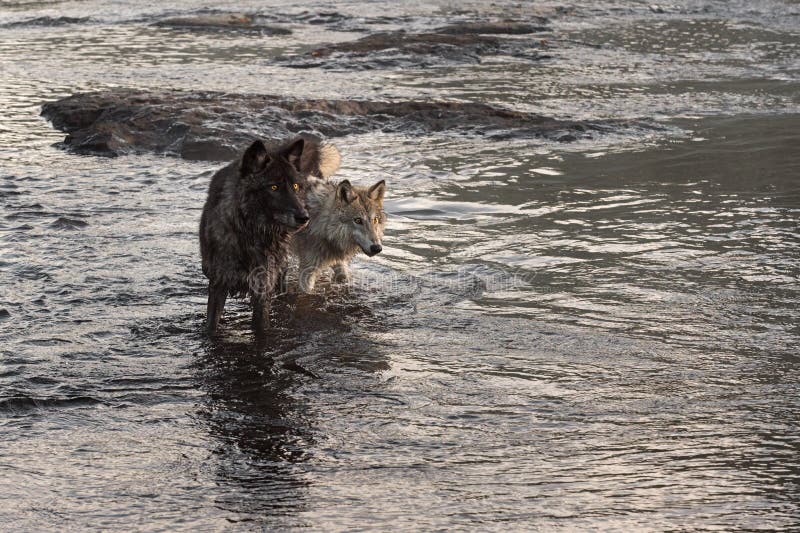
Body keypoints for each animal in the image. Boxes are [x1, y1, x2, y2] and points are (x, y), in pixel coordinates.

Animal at [199, 136, 337, 335]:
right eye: (273, 187)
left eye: (295, 186)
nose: (304, 217)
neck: (252, 234)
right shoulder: (218, 285)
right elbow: (211, 326)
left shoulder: (263, 288)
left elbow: (261, 327)